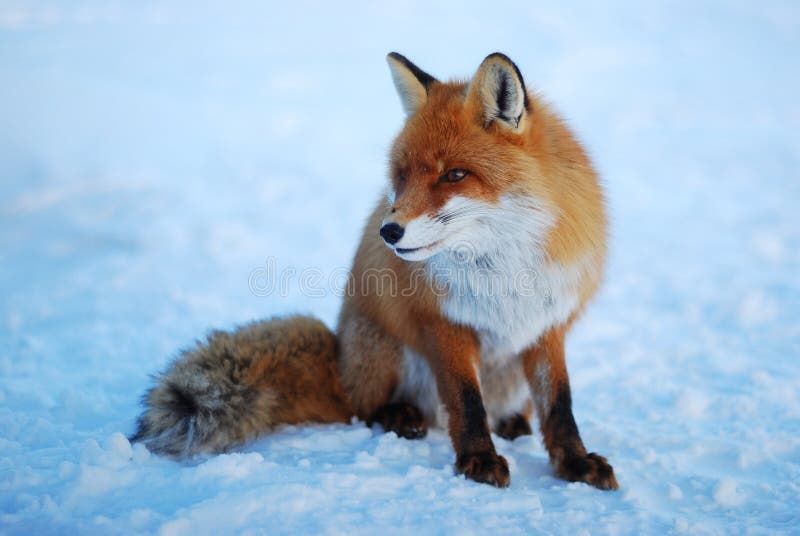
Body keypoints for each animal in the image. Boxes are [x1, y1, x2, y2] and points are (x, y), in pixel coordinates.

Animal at [132, 52, 617, 490]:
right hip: (385, 350)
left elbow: (559, 405)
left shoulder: (547, 322)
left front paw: (575, 463)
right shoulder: (443, 322)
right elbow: (465, 401)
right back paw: (400, 416)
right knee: (364, 409)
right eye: (401, 176)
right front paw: (478, 460)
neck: (503, 268)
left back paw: (512, 422)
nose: (389, 231)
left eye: (454, 175)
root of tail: (340, 361)